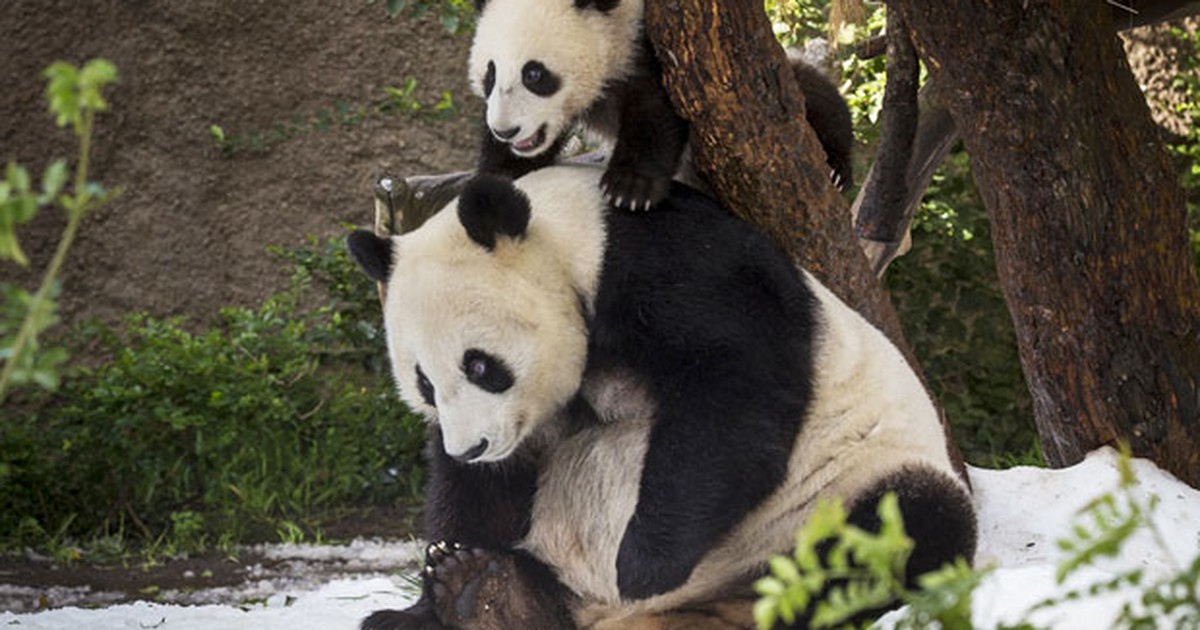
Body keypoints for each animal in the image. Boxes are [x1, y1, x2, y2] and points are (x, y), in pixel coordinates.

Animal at [347, 165, 976, 630]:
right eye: (424, 383)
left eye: (480, 365)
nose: (472, 446)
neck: (573, 240)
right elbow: (483, 489)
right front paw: (438, 575)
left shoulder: (681, 268)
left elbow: (733, 394)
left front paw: (644, 566)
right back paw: (488, 595)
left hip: (841, 492)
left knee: (908, 530)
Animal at [468, 0, 855, 211]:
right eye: (491, 72)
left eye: (534, 74)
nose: (506, 130)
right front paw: (501, 171)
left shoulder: (653, 47)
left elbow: (655, 110)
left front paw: (630, 188)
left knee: (815, 96)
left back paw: (836, 169)